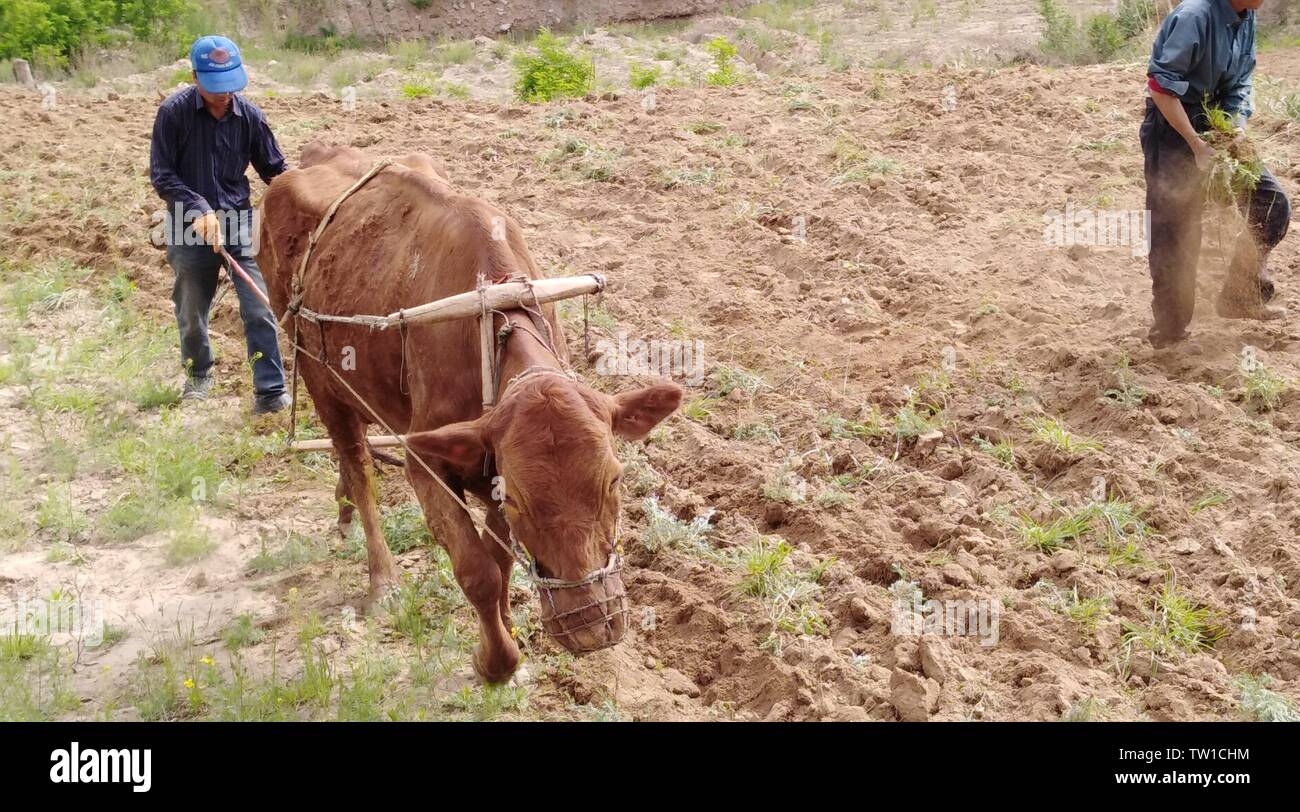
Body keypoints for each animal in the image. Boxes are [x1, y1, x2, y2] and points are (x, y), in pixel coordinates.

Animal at [257, 142, 681, 682]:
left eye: (614, 481)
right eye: (521, 498)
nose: (591, 628)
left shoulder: (488, 465)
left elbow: (500, 561)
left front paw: (511, 629)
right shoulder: (427, 460)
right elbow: (477, 570)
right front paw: (495, 662)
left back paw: (342, 507)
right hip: (315, 370)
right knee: (358, 464)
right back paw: (383, 579)